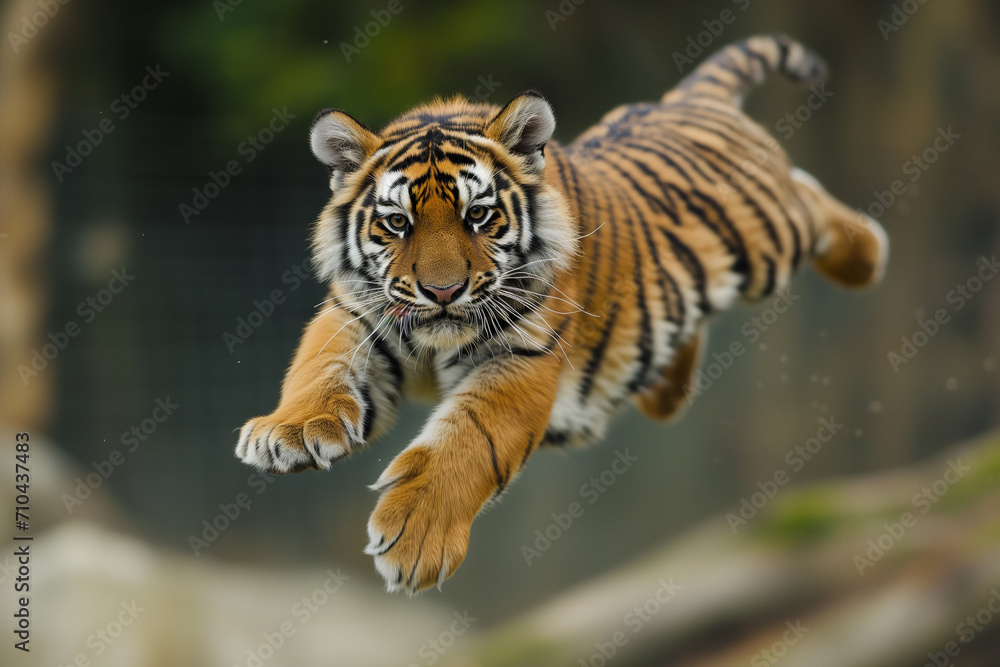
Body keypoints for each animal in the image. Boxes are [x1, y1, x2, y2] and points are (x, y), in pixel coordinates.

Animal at [236, 34, 887, 594]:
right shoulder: (358, 313)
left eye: (479, 215)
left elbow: (468, 440)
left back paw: (869, 255)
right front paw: (287, 432)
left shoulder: (522, 357)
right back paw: (665, 383)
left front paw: (414, 540)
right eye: (397, 223)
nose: (443, 292)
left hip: (768, 236)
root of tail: (680, 99)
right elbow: (319, 366)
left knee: (807, 195)